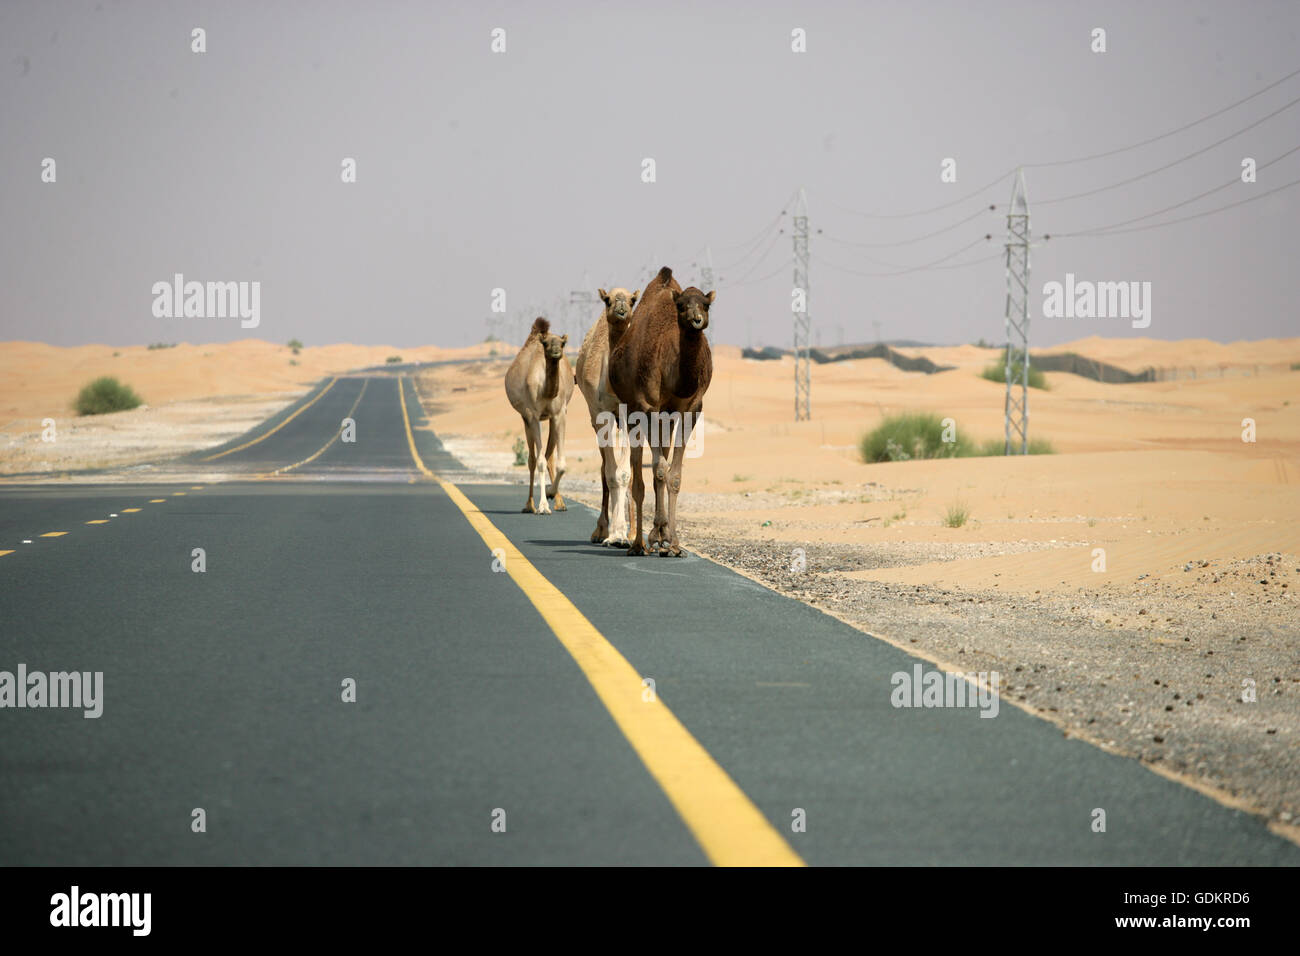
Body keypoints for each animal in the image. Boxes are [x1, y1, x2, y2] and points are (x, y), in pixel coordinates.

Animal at [504, 318, 574, 514]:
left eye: (563, 343)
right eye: (545, 344)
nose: (556, 351)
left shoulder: (560, 414)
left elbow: (560, 464)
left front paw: (551, 494)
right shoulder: (533, 415)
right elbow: (539, 461)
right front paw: (543, 505)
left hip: (549, 418)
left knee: (548, 455)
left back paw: (559, 502)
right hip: (526, 419)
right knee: (532, 460)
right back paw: (530, 505)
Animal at [576, 287, 640, 545]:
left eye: (633, 300)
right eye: (607, 300)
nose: (621, 306)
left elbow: (625, 473)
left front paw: (624, 535)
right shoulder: (601, 413)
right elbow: (611, 472)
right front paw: (614, 534)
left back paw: (631, 533)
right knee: (605, 468)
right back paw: (601, 529)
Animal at [608, 267, 713, 556]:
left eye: (706, 304)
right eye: (681, 305)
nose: (696, 320)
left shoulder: (692, 408)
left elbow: (673, 475)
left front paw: (673, 542)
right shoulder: (647, 407)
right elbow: (658, 470)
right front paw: (657, 535)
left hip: (667, 416)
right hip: (631, 411)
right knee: (638, 475)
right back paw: (638, 543)